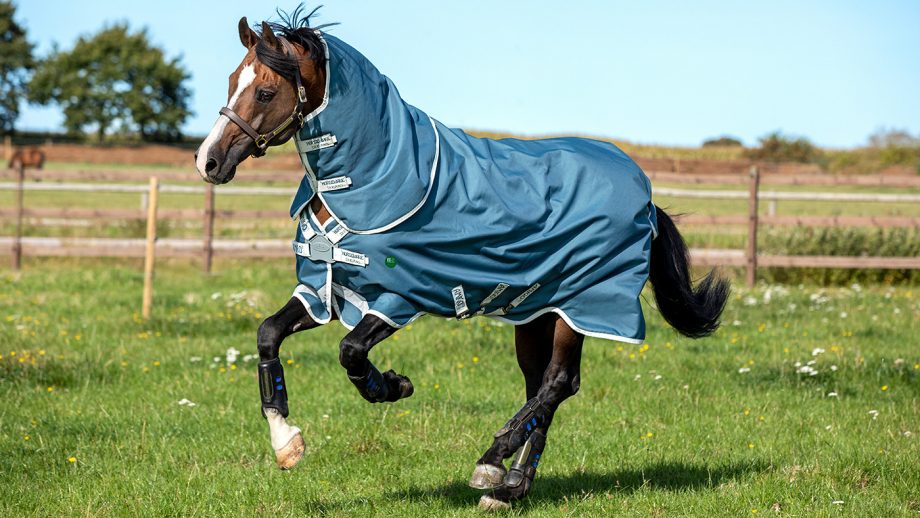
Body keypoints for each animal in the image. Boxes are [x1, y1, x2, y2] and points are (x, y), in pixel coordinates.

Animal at [194, 8, 729, 510]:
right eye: (231, 81)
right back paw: (510, 487)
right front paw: (287, 444)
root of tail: (645, 196)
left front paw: (392, 386)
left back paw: (493, 462)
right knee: (543, 386)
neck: (375, 179)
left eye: (265, 92)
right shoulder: (326, 289)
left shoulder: (398, 297)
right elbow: (268, 333)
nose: (208, 161)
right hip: (535, 311)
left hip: (581, 306)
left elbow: (350, 352)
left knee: (558, 383)